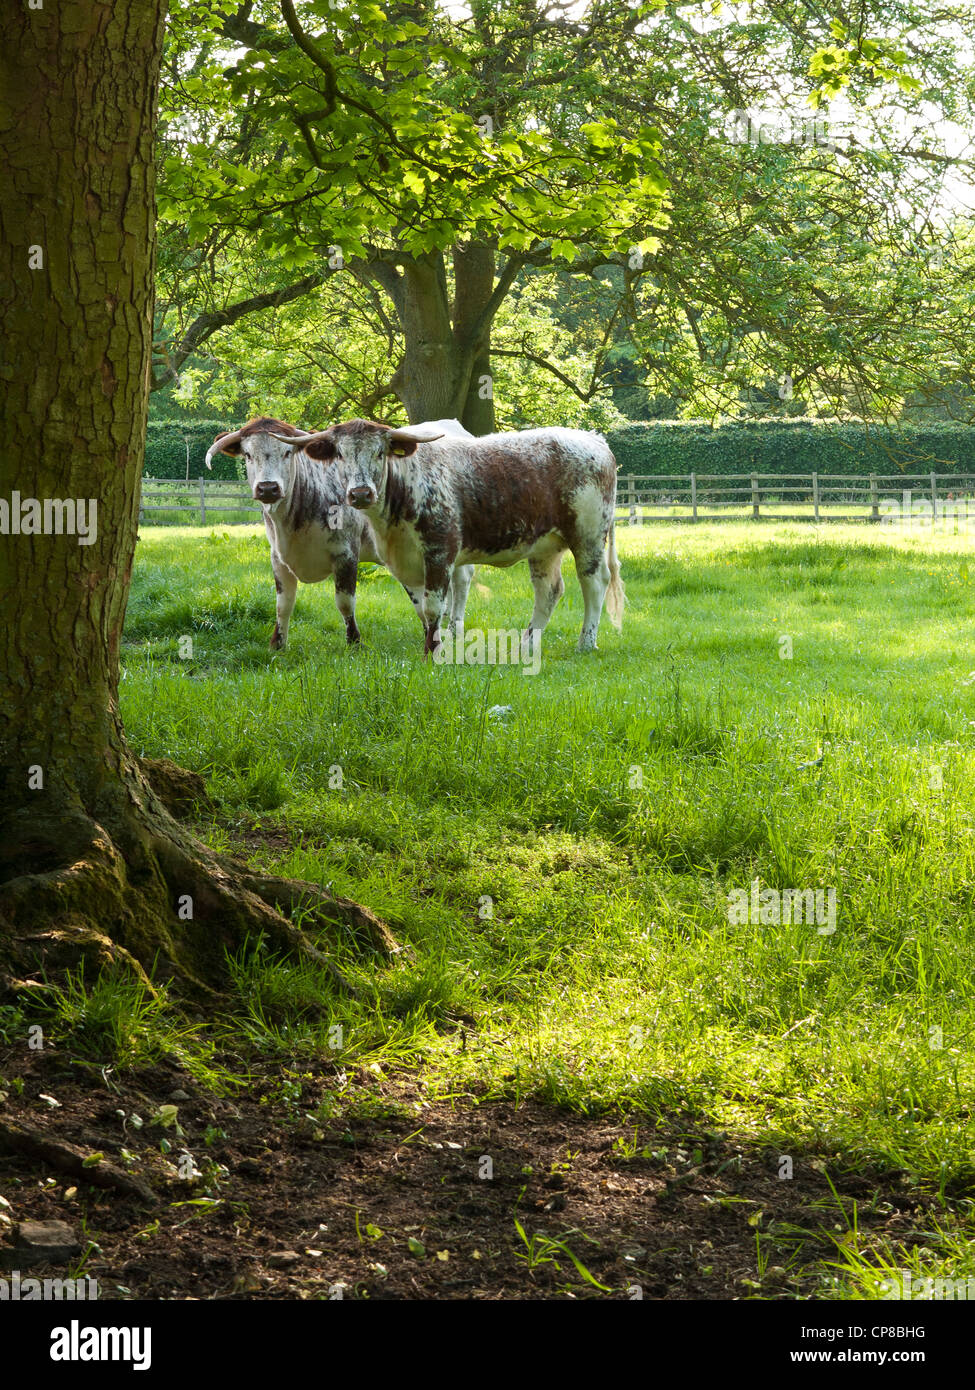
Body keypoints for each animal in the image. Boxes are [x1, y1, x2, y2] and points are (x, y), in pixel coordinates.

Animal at [204, 417, 474, 649]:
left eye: (287, 453)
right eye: (248, 455)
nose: (268, 488)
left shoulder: (346, 554)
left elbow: (345, 602)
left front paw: (354, 642)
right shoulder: (278, 559)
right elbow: (283, 604)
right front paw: (277, 644)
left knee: (460, 582)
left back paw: (455, 630)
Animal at [273, 419, 624, 655]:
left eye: (380, 452)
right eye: (340, 454)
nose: (360, 493)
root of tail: (594, 440)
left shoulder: (440, 551)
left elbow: (433, 607)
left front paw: (433, 650)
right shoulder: (407, 562)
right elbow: (423, 608)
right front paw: (434, 641)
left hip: (588, 536)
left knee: (594, 584)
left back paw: (586, 642)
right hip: (544, 547)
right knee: (549, 591)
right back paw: (527, 643)